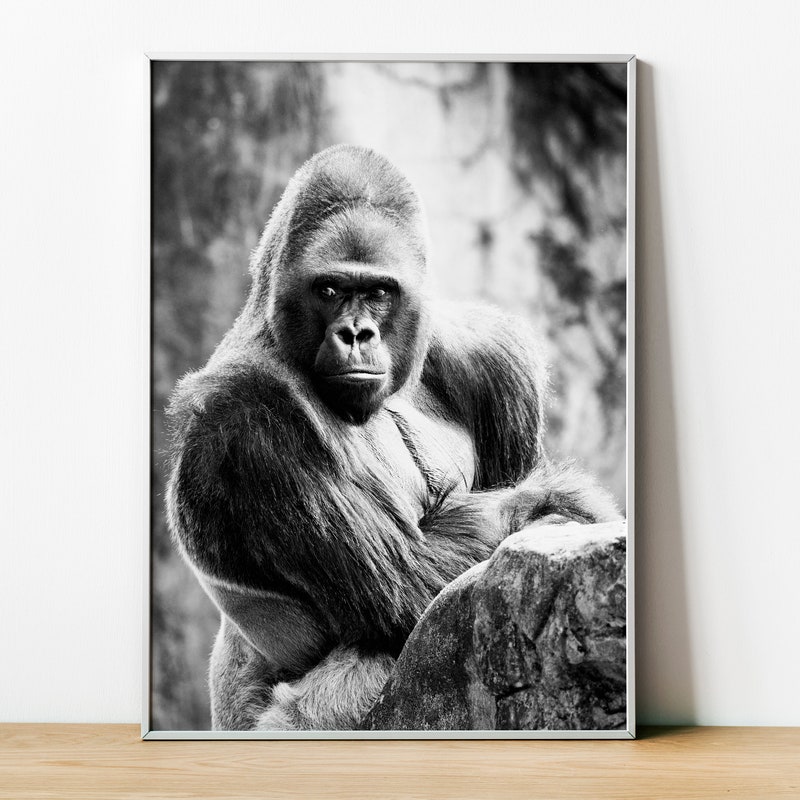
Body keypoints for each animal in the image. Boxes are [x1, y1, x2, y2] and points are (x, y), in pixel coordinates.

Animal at [165, 144, 620, 731]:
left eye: (379, 291)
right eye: (329, 289)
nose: (356, 334)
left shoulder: (493, 352)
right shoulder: (242, 412)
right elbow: (414, 585)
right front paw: (561, 505)